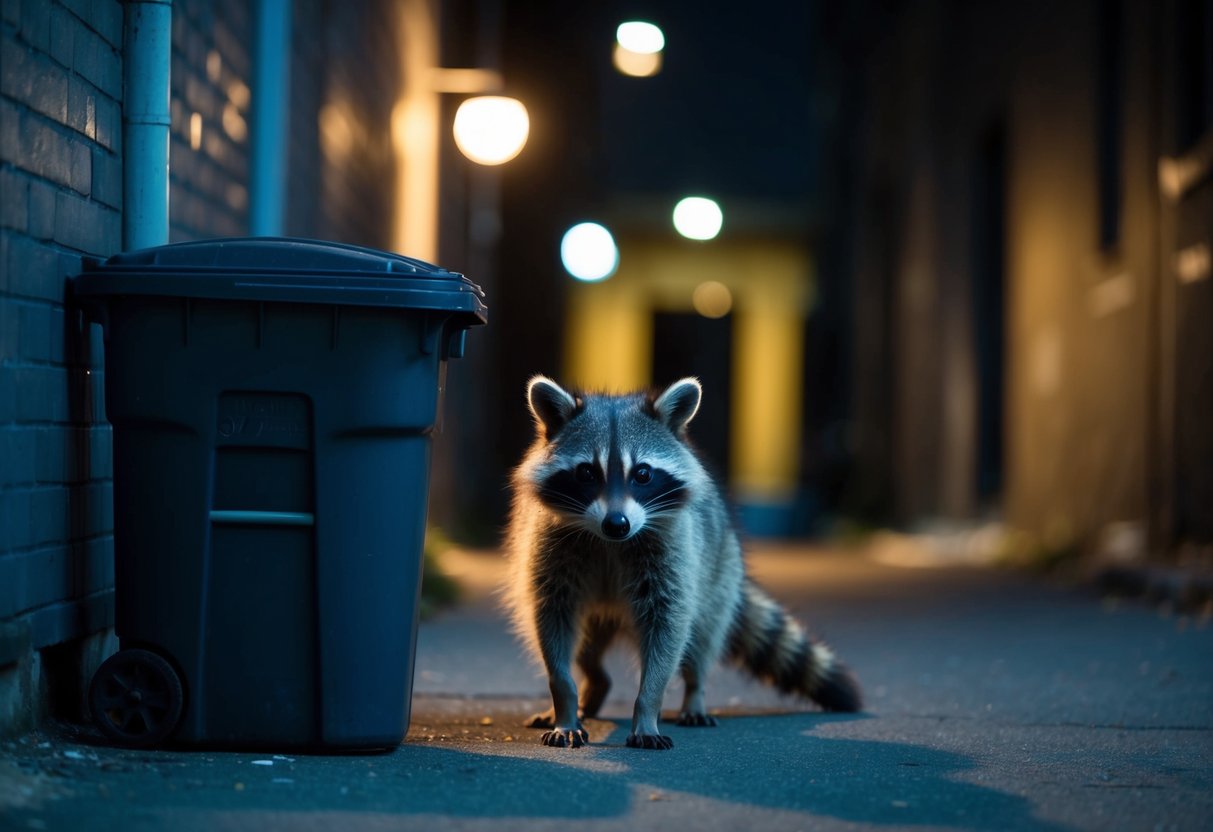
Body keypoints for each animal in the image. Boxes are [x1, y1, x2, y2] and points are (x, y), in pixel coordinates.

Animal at [504, 376, 861, 750]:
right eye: (586, 473)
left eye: (642, 474)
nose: (617, 524)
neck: (609, 542)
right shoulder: (548, 549)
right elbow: (551, 625)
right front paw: (565, 706)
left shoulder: (674, 553)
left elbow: (669, 628)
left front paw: (648, 709)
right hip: (597, 610)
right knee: (585, 652)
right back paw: (592, 689)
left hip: (718, 575)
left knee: (702, 640)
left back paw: (694, 695)